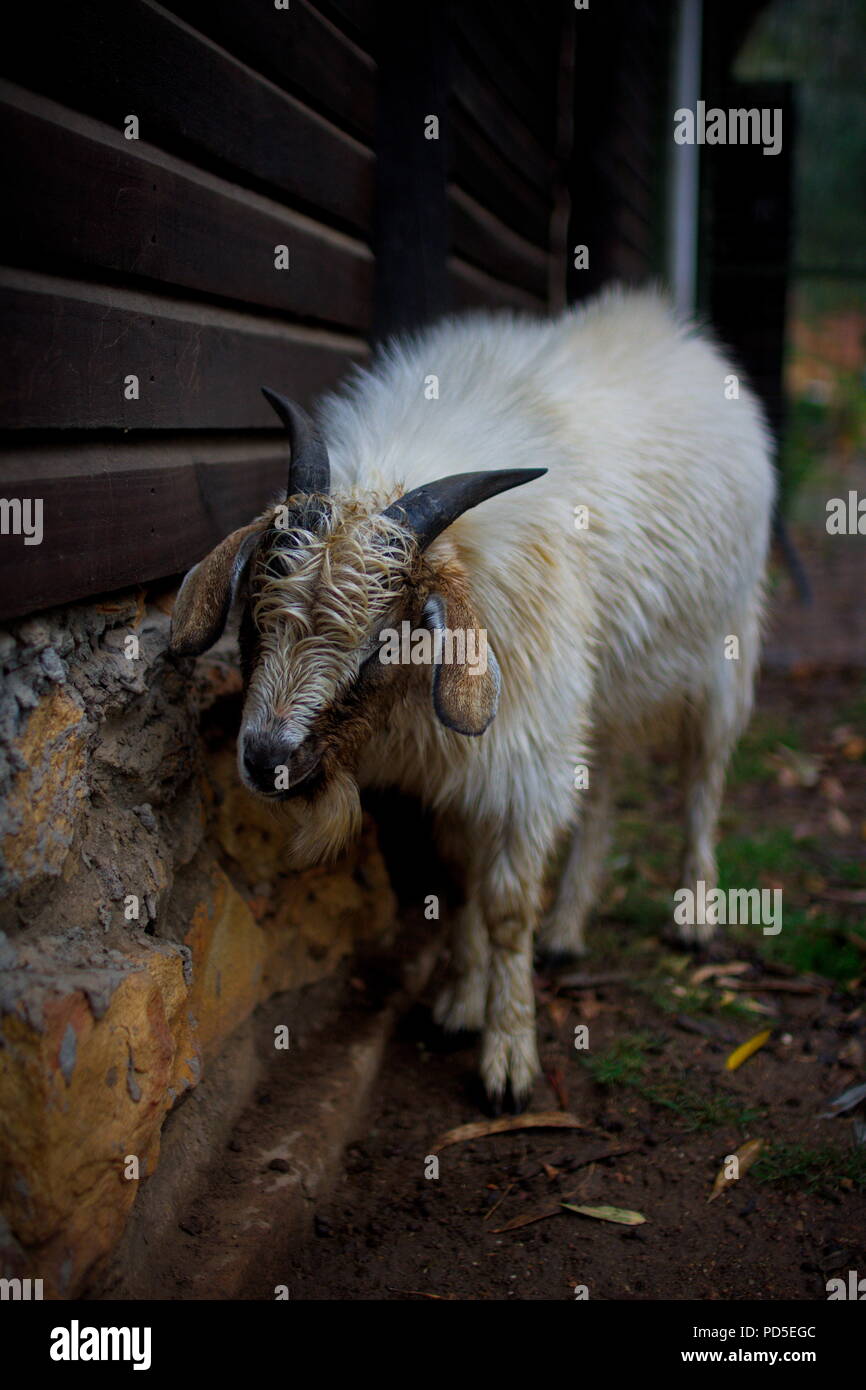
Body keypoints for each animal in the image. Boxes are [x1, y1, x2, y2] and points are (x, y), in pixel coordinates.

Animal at [170, 287, 775, 1112]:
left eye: (380, 646)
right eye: (257, 617)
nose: (266, 760)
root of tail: (665, 324)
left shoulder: (525, 755)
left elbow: (506, 905)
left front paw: (510, 1059)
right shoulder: (452, 768)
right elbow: (459, 884)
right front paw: (461, 1003)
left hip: (723, 655)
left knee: (703, 782)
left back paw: (694, 916)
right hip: (603, 690)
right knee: (605, 784)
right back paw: (568, 927)